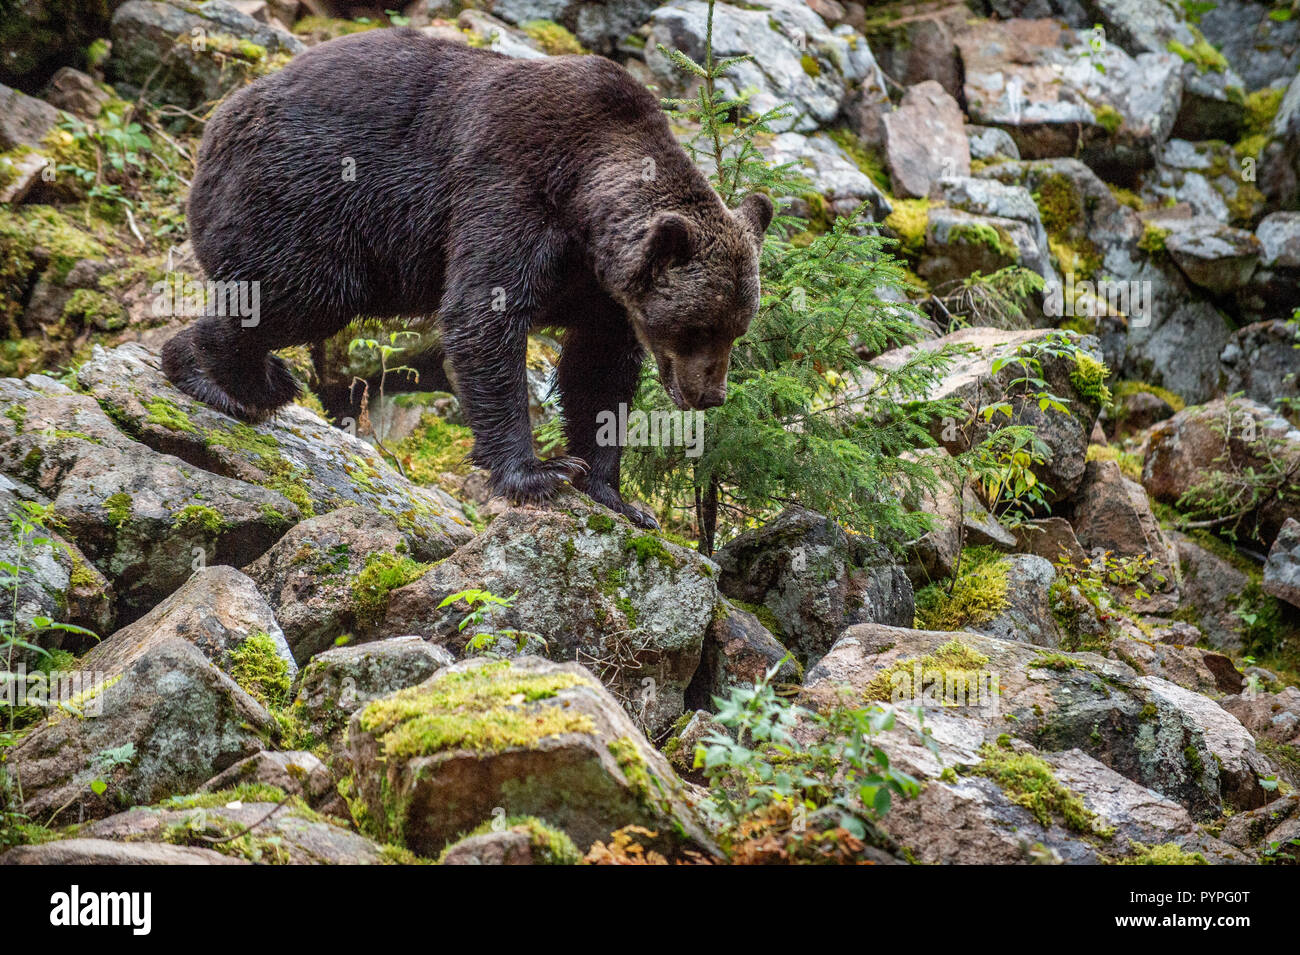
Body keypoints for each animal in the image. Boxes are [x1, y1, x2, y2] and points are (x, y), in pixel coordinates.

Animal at [163, 28, 772, 529]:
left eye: (736, 330)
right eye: (697, 328)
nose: (709, 395)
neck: (583, 196)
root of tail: (216, 121)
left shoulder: (600, 289)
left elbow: (598, 371)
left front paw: (615, 493)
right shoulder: (509, 187)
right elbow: (484, 313)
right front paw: (539, 472)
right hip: (305, 199)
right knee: (299, 295)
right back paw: (232, 378)